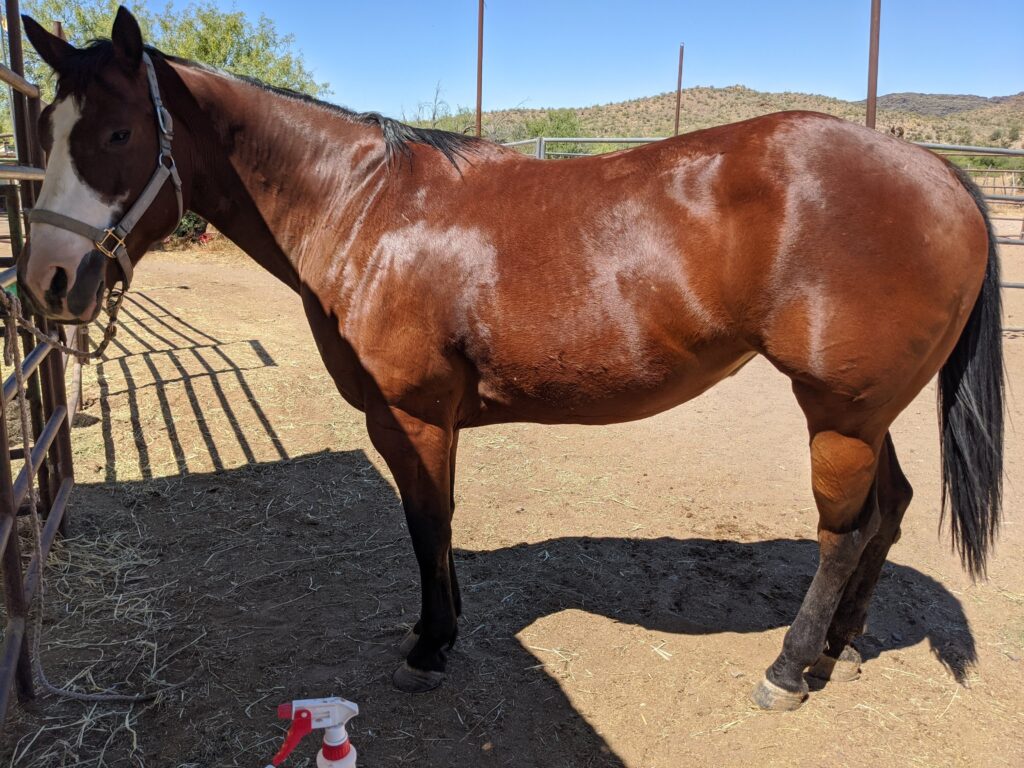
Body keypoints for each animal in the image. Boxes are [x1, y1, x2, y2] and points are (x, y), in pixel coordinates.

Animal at [17, 7, 1003, 710]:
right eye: (48, 128)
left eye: (116, 134)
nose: (46, 282)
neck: (364, 207)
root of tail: (940, 173)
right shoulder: (430, 420)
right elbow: (440, 521)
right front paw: (445, 630)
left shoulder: (410, 414)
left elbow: (426, 522)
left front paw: (427, 647)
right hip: (867, 411)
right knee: (887, 513)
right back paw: (837, 650)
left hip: (838, 410)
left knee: (842, 533)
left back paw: (790, 669)